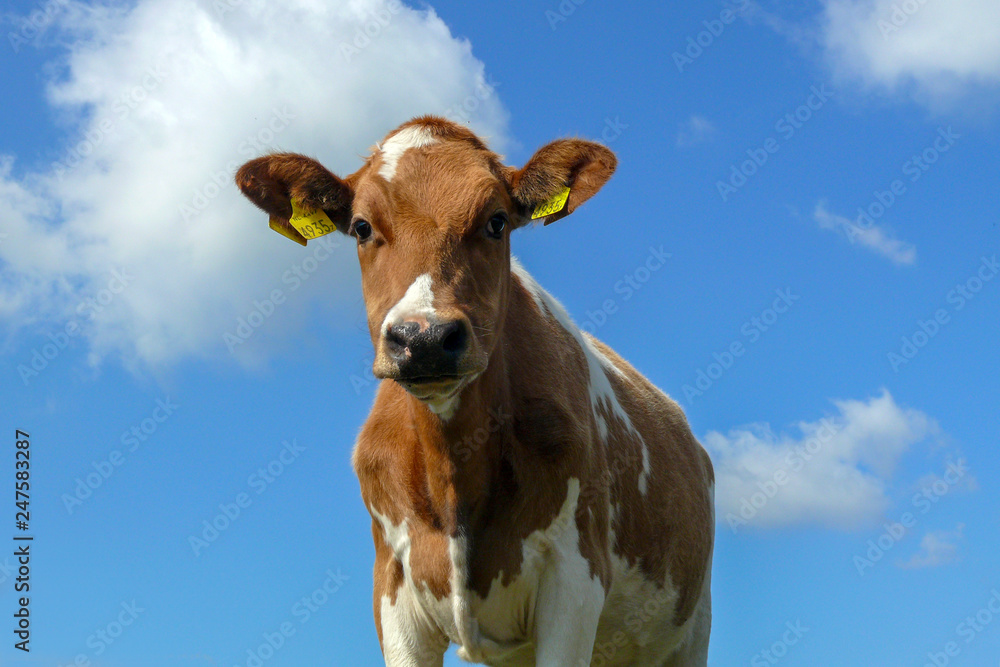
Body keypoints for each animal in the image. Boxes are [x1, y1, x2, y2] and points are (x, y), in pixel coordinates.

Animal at [235, 116, 715, 666]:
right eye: (361, 227)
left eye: (496, 222)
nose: (424, 338)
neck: (454, 478)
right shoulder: (392, 589)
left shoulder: (575, 579)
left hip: (689, 631)